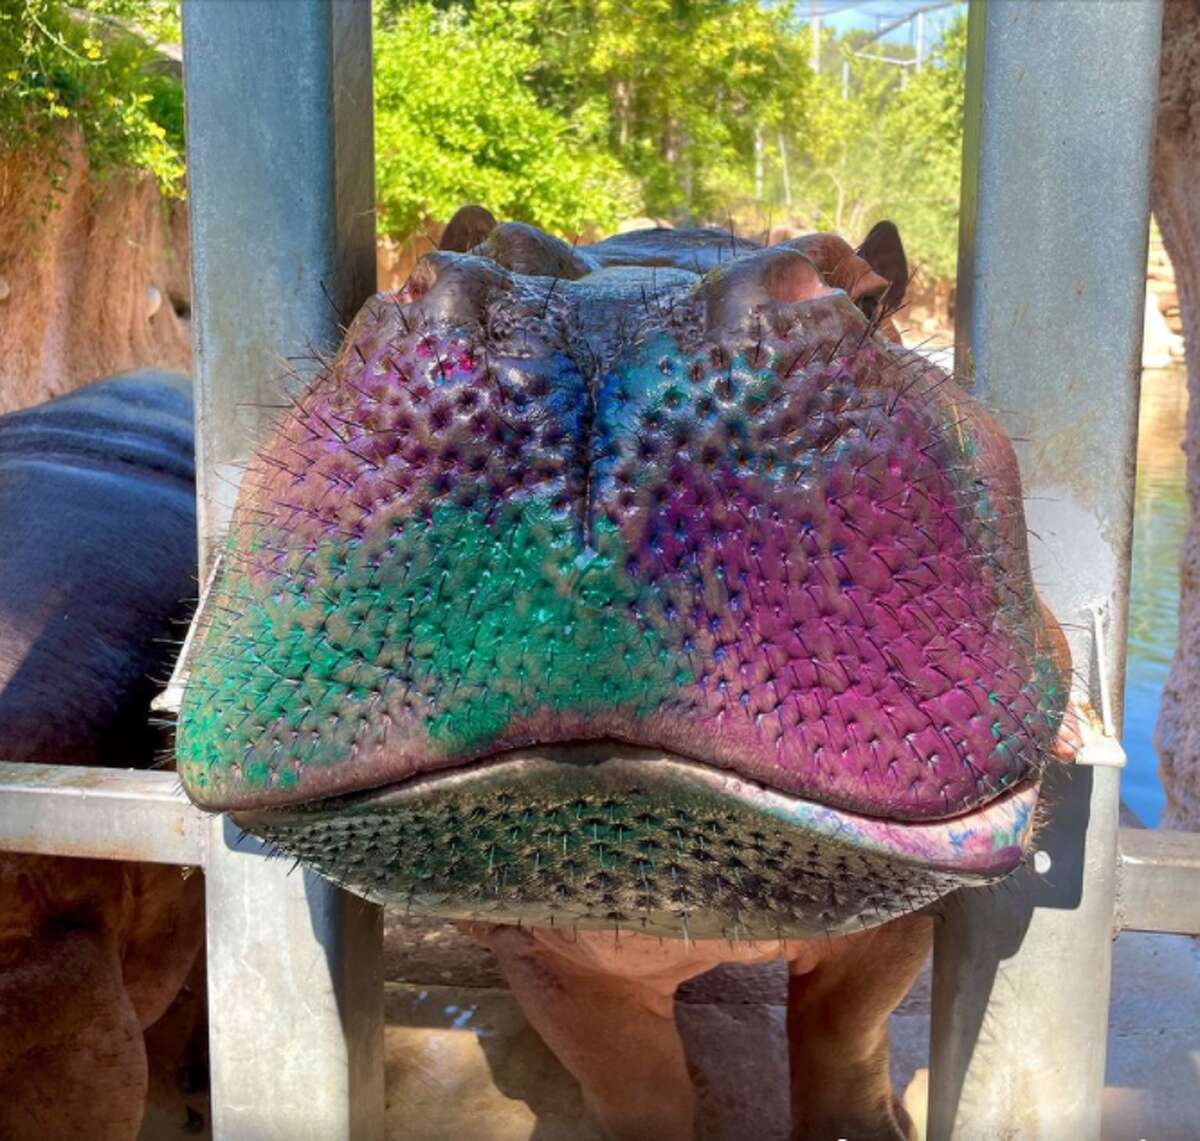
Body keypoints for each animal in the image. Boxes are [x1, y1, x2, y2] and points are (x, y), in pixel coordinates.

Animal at [175, 209, 1073, 1139]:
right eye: (476, 237)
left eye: (867, 294)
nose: (599, 325)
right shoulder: (549, 960)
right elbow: (638, 1089)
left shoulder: (899, 932)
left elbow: (845, 1035)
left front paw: (867, 1124)